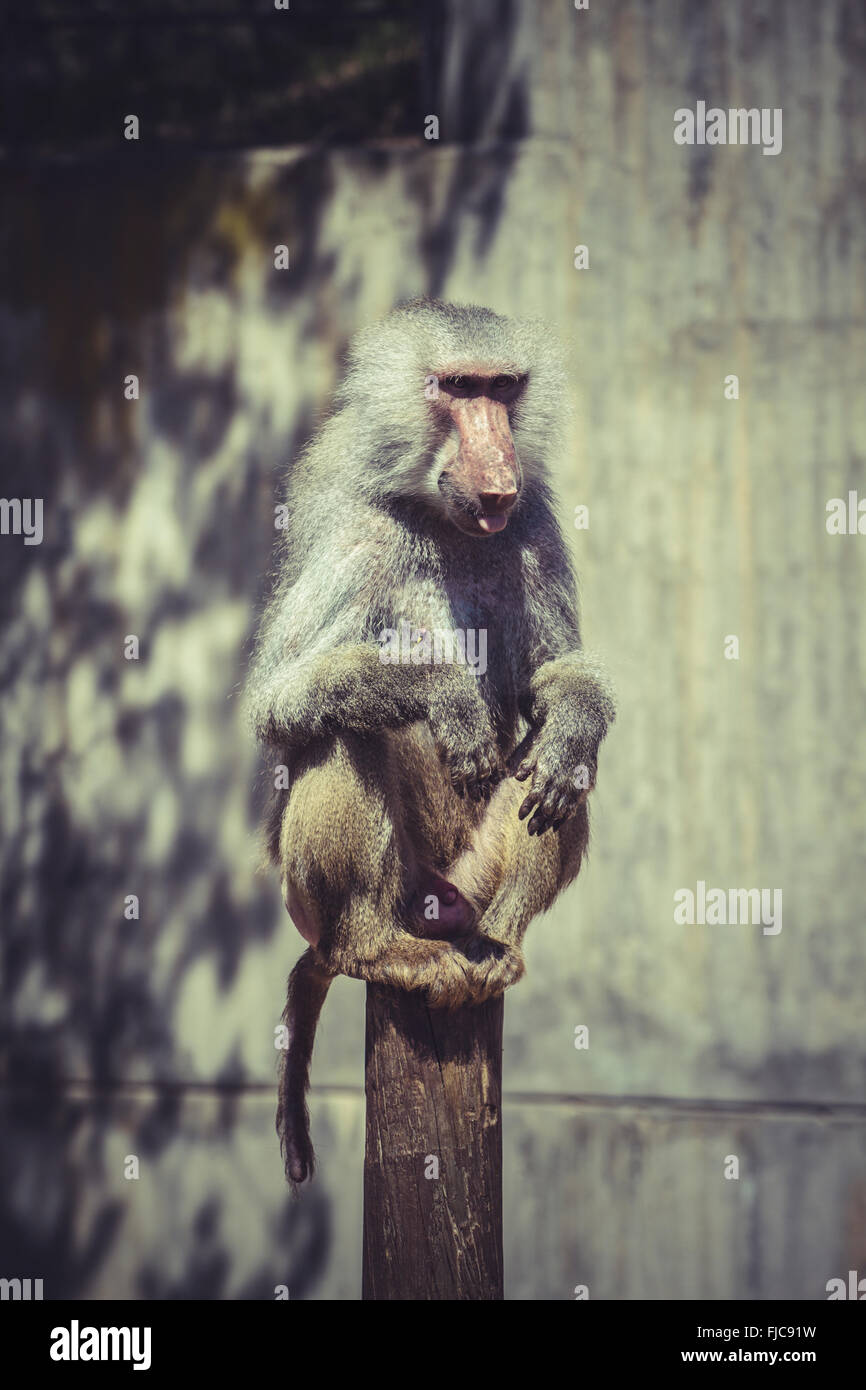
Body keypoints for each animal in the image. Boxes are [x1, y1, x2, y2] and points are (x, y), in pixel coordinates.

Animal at [244, 297, 615, 1187]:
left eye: (503, 389)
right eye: (456, 388)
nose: (499, 467)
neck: (437, 515)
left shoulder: (534, 527)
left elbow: (558, 685)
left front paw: (572, 723)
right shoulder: (352, 533)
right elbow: (279, 696)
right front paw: (444, 693)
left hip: (466, 885)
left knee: (562, 778)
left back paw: (500, 948)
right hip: (321, 900)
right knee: (341, 730)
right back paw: (378, 948)